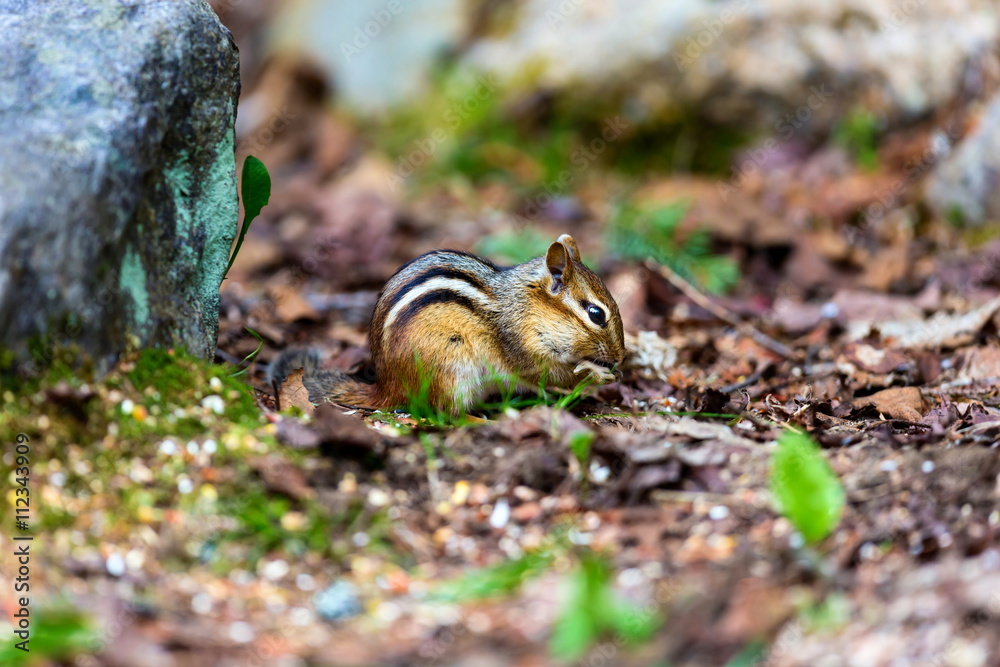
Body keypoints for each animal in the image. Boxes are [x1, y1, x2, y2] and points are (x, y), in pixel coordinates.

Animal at [267, 234, 626, 413]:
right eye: (596, 314)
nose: (621, 358)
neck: (525, 307)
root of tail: (386, 388)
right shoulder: (521, 346)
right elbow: (549, 373)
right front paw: (595, 374)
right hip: (452, 370)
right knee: (446, 415)